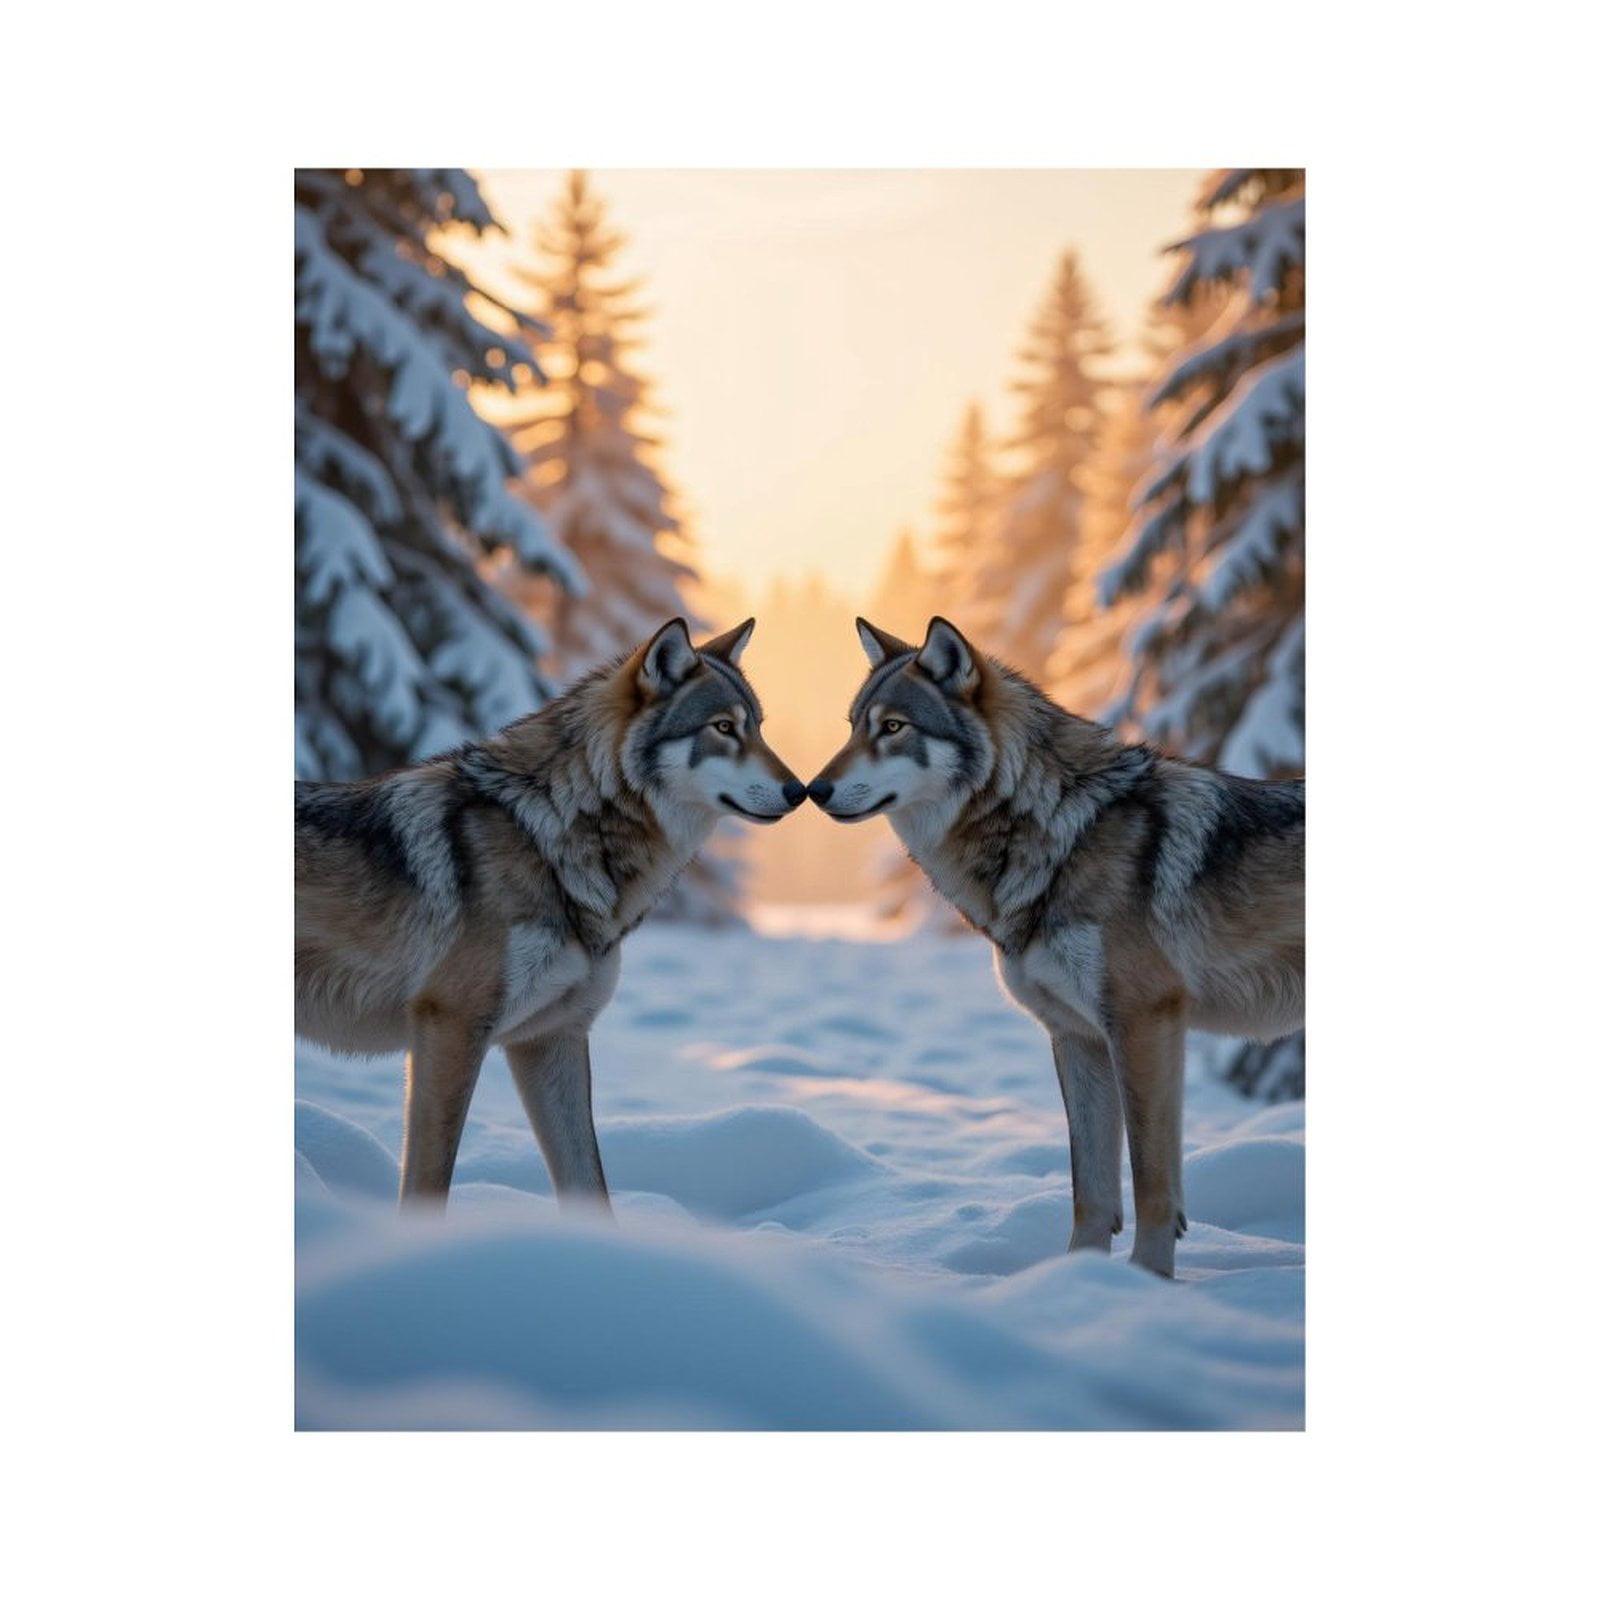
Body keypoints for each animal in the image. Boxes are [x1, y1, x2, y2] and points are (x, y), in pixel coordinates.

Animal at [296, 617, 803, 1208]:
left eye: (760, 728)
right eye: (723, 727)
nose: (801, 790)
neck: (553, 831)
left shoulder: (552, 1037)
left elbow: (591, 1186)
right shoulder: (450, 1027)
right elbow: (428, 1187)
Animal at [809, 616, 1303, 1277]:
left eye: (893, 727)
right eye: (853, 726)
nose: (812, 789)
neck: (1058, 828)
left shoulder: (1145, 1024)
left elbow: (1152, 1183)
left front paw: (1144, 1284)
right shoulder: (1076, 1036)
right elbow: (1089, 1189)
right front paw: (1077, 1282)